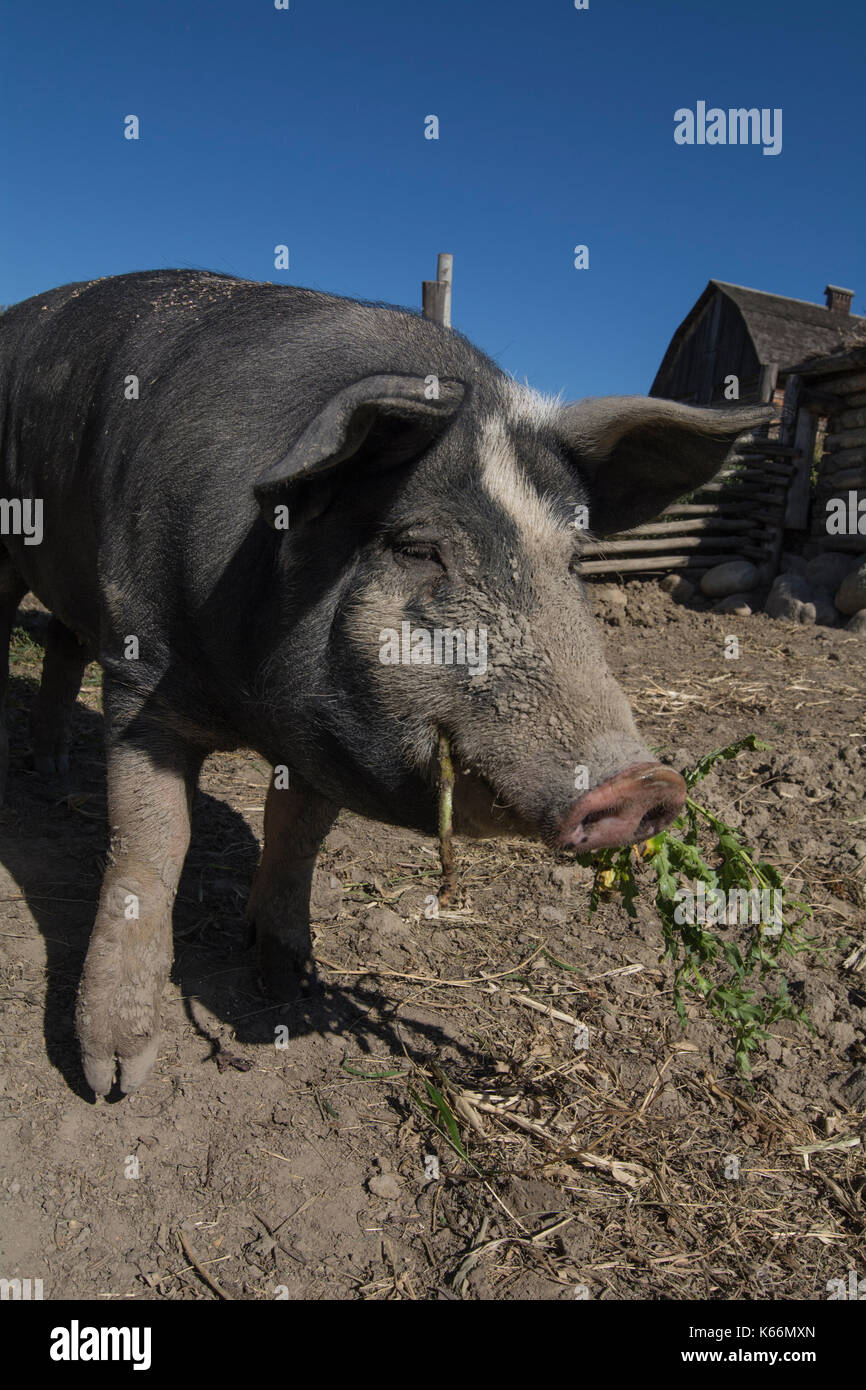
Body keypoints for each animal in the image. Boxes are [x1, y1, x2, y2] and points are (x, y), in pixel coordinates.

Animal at [0, 270, 769, 1095]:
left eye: (573, 560)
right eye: (417, 548)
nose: (645, 786)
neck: (248, 701)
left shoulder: (320, 737)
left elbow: (297, 835)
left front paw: (291, 983)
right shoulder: (141, 678)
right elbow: (150, 844)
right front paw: (112, 1081)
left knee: (64, 643)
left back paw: (53, 769)